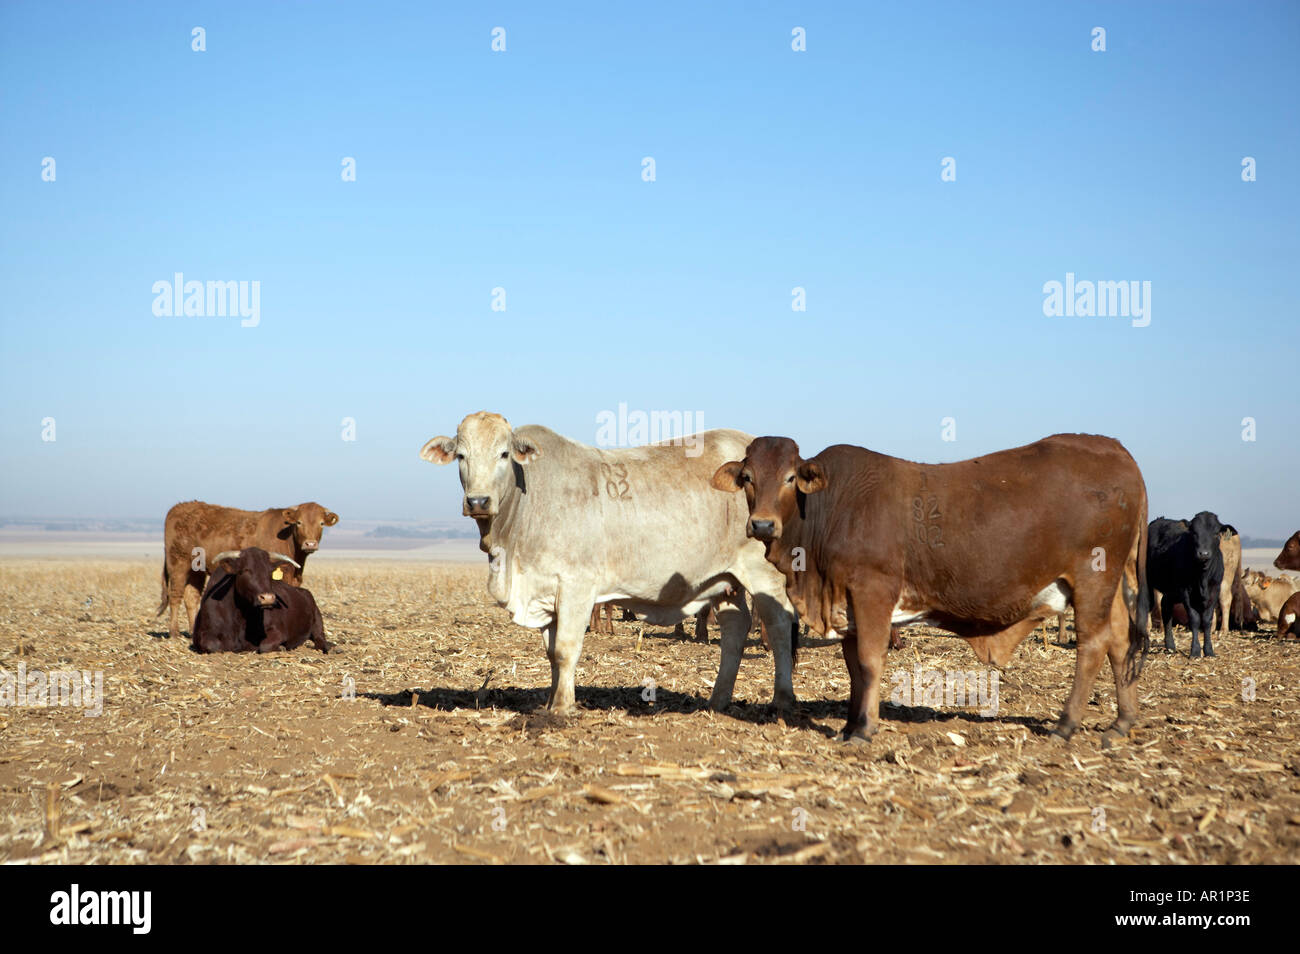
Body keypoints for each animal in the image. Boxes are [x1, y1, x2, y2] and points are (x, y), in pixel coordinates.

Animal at [157, 501, 338, 640]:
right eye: (299, 522)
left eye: (321, 523)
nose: (310, 544)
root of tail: (179, 507)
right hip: (178, 562)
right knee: (175, 596)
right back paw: (174, 633)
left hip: (197, 569)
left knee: (191, 597)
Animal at [190, 548, 331, 654]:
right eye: (246, 570)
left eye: (270, 571)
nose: (268, 598)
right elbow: (212, 645)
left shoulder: (277, 631)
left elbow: (264, 646)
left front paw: (281, 647)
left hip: (317, 620)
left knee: (320, 638)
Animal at [419, 412, 797, 714]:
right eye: (461, 456)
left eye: (503, 453)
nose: (478, 501)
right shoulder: (546, 592)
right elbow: (551, 654)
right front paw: (554, 701)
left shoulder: (576, 586)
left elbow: (565, 649)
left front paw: (560, 710)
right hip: (724, 579)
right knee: (735, 628)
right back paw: (717, 700)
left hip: (762, 572)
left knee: (779, 625)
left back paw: (782, 699)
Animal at [711, 433, 1148, 745]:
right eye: (748, 478)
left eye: (790, 478)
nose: (762, 524)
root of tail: (1116, 449)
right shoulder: (847, 602)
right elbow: (853, 666)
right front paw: (849, 726)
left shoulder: (873, 591)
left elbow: (870, 660)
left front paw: (865, 730)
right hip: (1110, 584)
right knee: (1120, 642)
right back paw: (1122, 722)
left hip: (1093, 577)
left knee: (1093, 644)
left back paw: (1066, 724)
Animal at [1145, 512, 1225, 658]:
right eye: (1194, 533)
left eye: (1216, 533)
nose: (1203, 553)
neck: (1202, 577)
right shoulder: (1186, 591)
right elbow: (1194, 619)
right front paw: (1195, 651)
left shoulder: (1215, 590)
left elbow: (1207, 620)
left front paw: (1209, 651)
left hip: (1171, 590)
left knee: (1166, 608)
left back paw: (1170, 646)